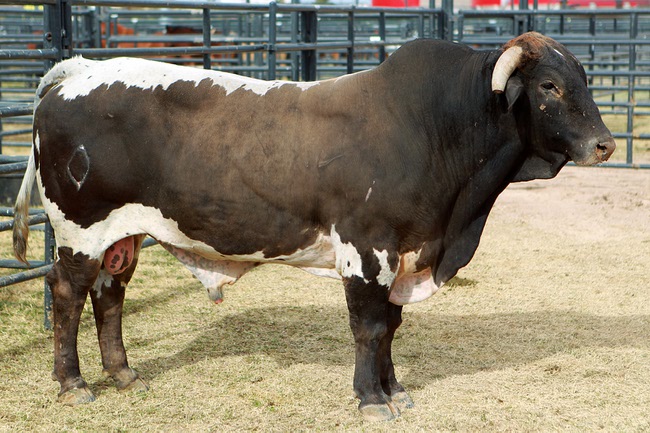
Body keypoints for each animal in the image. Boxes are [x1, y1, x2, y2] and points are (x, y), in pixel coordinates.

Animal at [13, 32, 615, 421]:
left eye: (584, 79)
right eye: (549, 87)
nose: (606, 144)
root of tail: (79, 70)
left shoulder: (401, 253)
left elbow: (391, 326)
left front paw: (395, 390)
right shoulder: (366, 248)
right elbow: (369, 328)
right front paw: (371, 400)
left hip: (123, 235)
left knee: (109, 296)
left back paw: (123, 374)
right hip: (79, 231)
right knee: (68, 295)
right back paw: (73, 383)